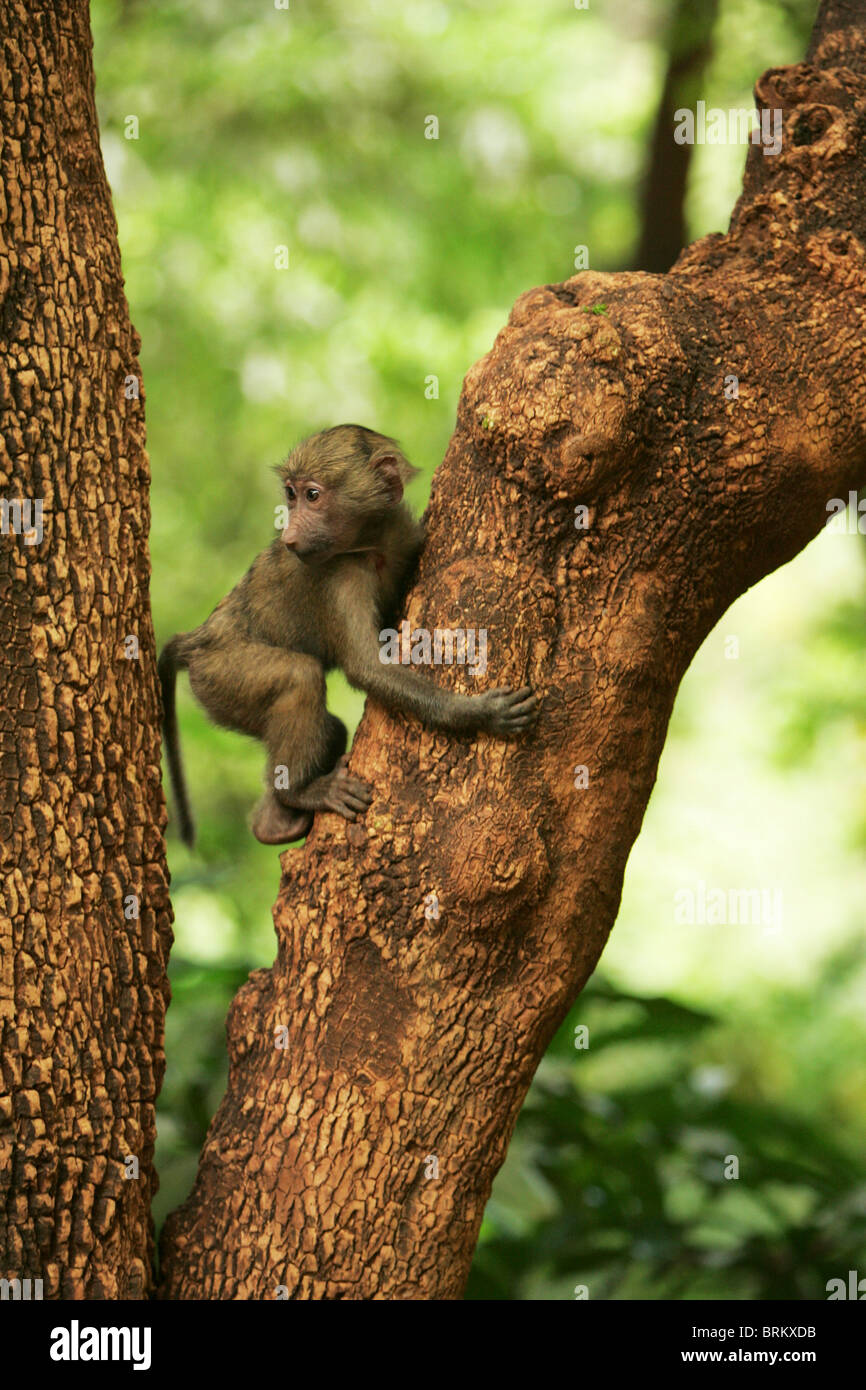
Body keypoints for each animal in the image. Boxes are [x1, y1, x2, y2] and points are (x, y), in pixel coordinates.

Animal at [158, 424, 539, 847]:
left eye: (311, 495)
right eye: (291, 494)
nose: (288, 535)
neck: (370, 544)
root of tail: (198, 638)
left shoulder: (405, 539)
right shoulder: (343, 576)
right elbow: (365, 667)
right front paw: (478, 712)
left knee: (329, 726)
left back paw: (273, 820)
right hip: (220, 674)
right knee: (299, 678)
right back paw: (299, 793)